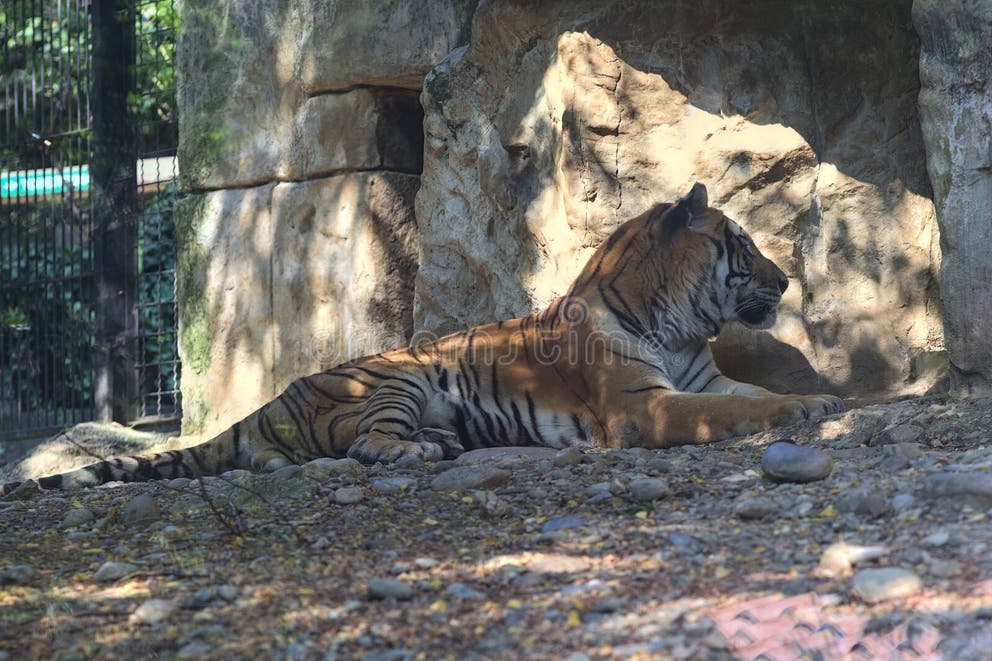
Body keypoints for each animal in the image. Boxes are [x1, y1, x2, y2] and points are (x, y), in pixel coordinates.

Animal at [1, 182, 844, 495]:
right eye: (742, 244)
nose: (787, 282)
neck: (675, 320)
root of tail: (271, 401)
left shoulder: (702, 380)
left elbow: (751, 390)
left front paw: (827, 399)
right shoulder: (650, 406)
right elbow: (735, 411)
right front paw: (805, 412)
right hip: (397, 375)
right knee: (364, 446)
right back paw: (424, 451)